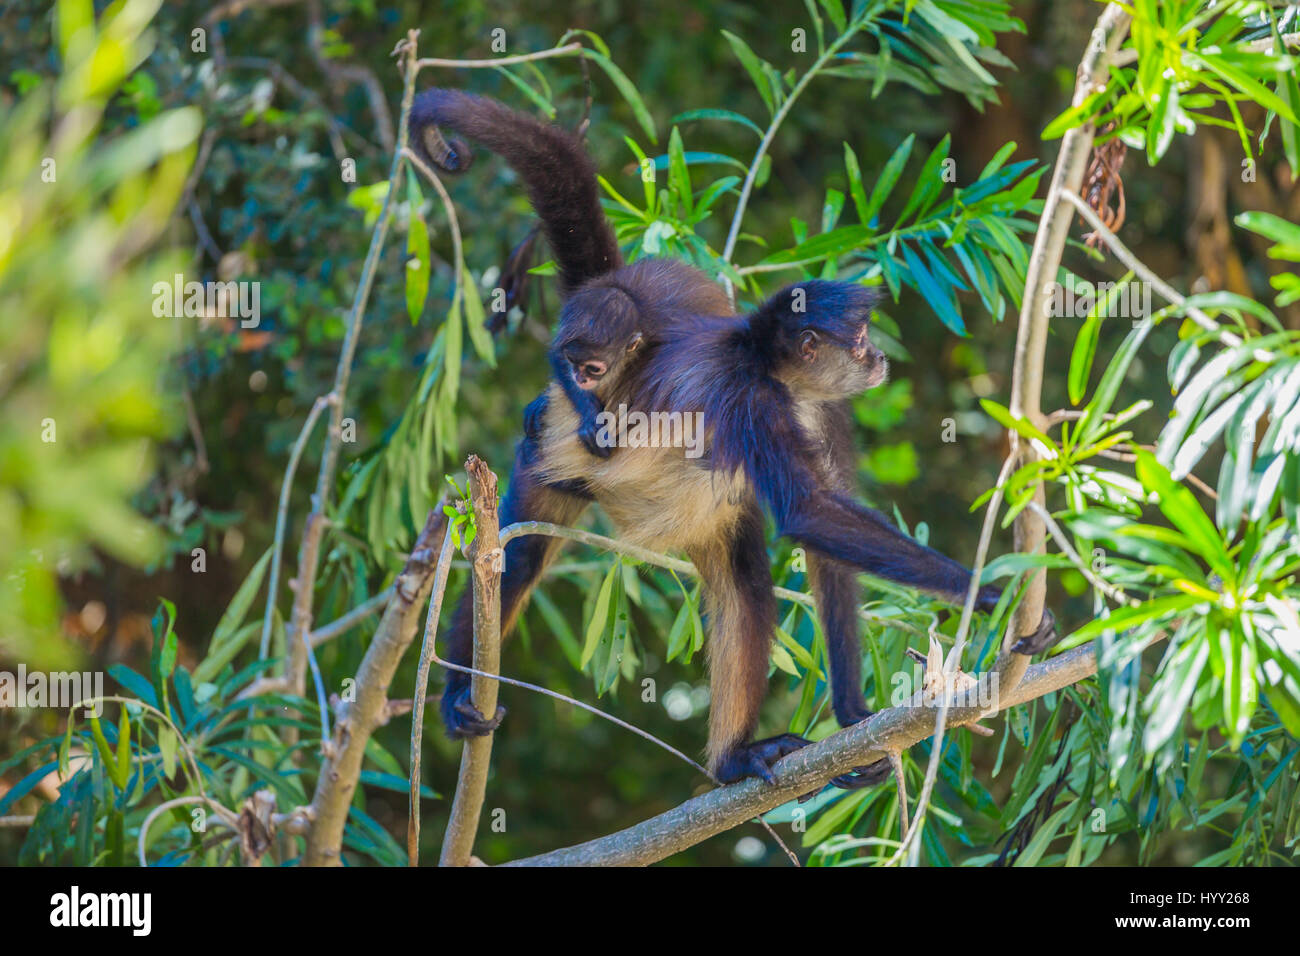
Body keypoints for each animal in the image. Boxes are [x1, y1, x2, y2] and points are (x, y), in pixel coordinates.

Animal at [410, 88, 1059, 787]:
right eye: (860, 338)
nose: (878, 356)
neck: (773, 373)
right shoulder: (753, 401)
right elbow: (810, 512)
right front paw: (993, 592)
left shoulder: (825, 412)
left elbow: (825, 540)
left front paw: (853, 714)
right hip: (552, 457)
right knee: (521, 557)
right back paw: (460, 692)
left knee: (745, 586)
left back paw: (732, 760)